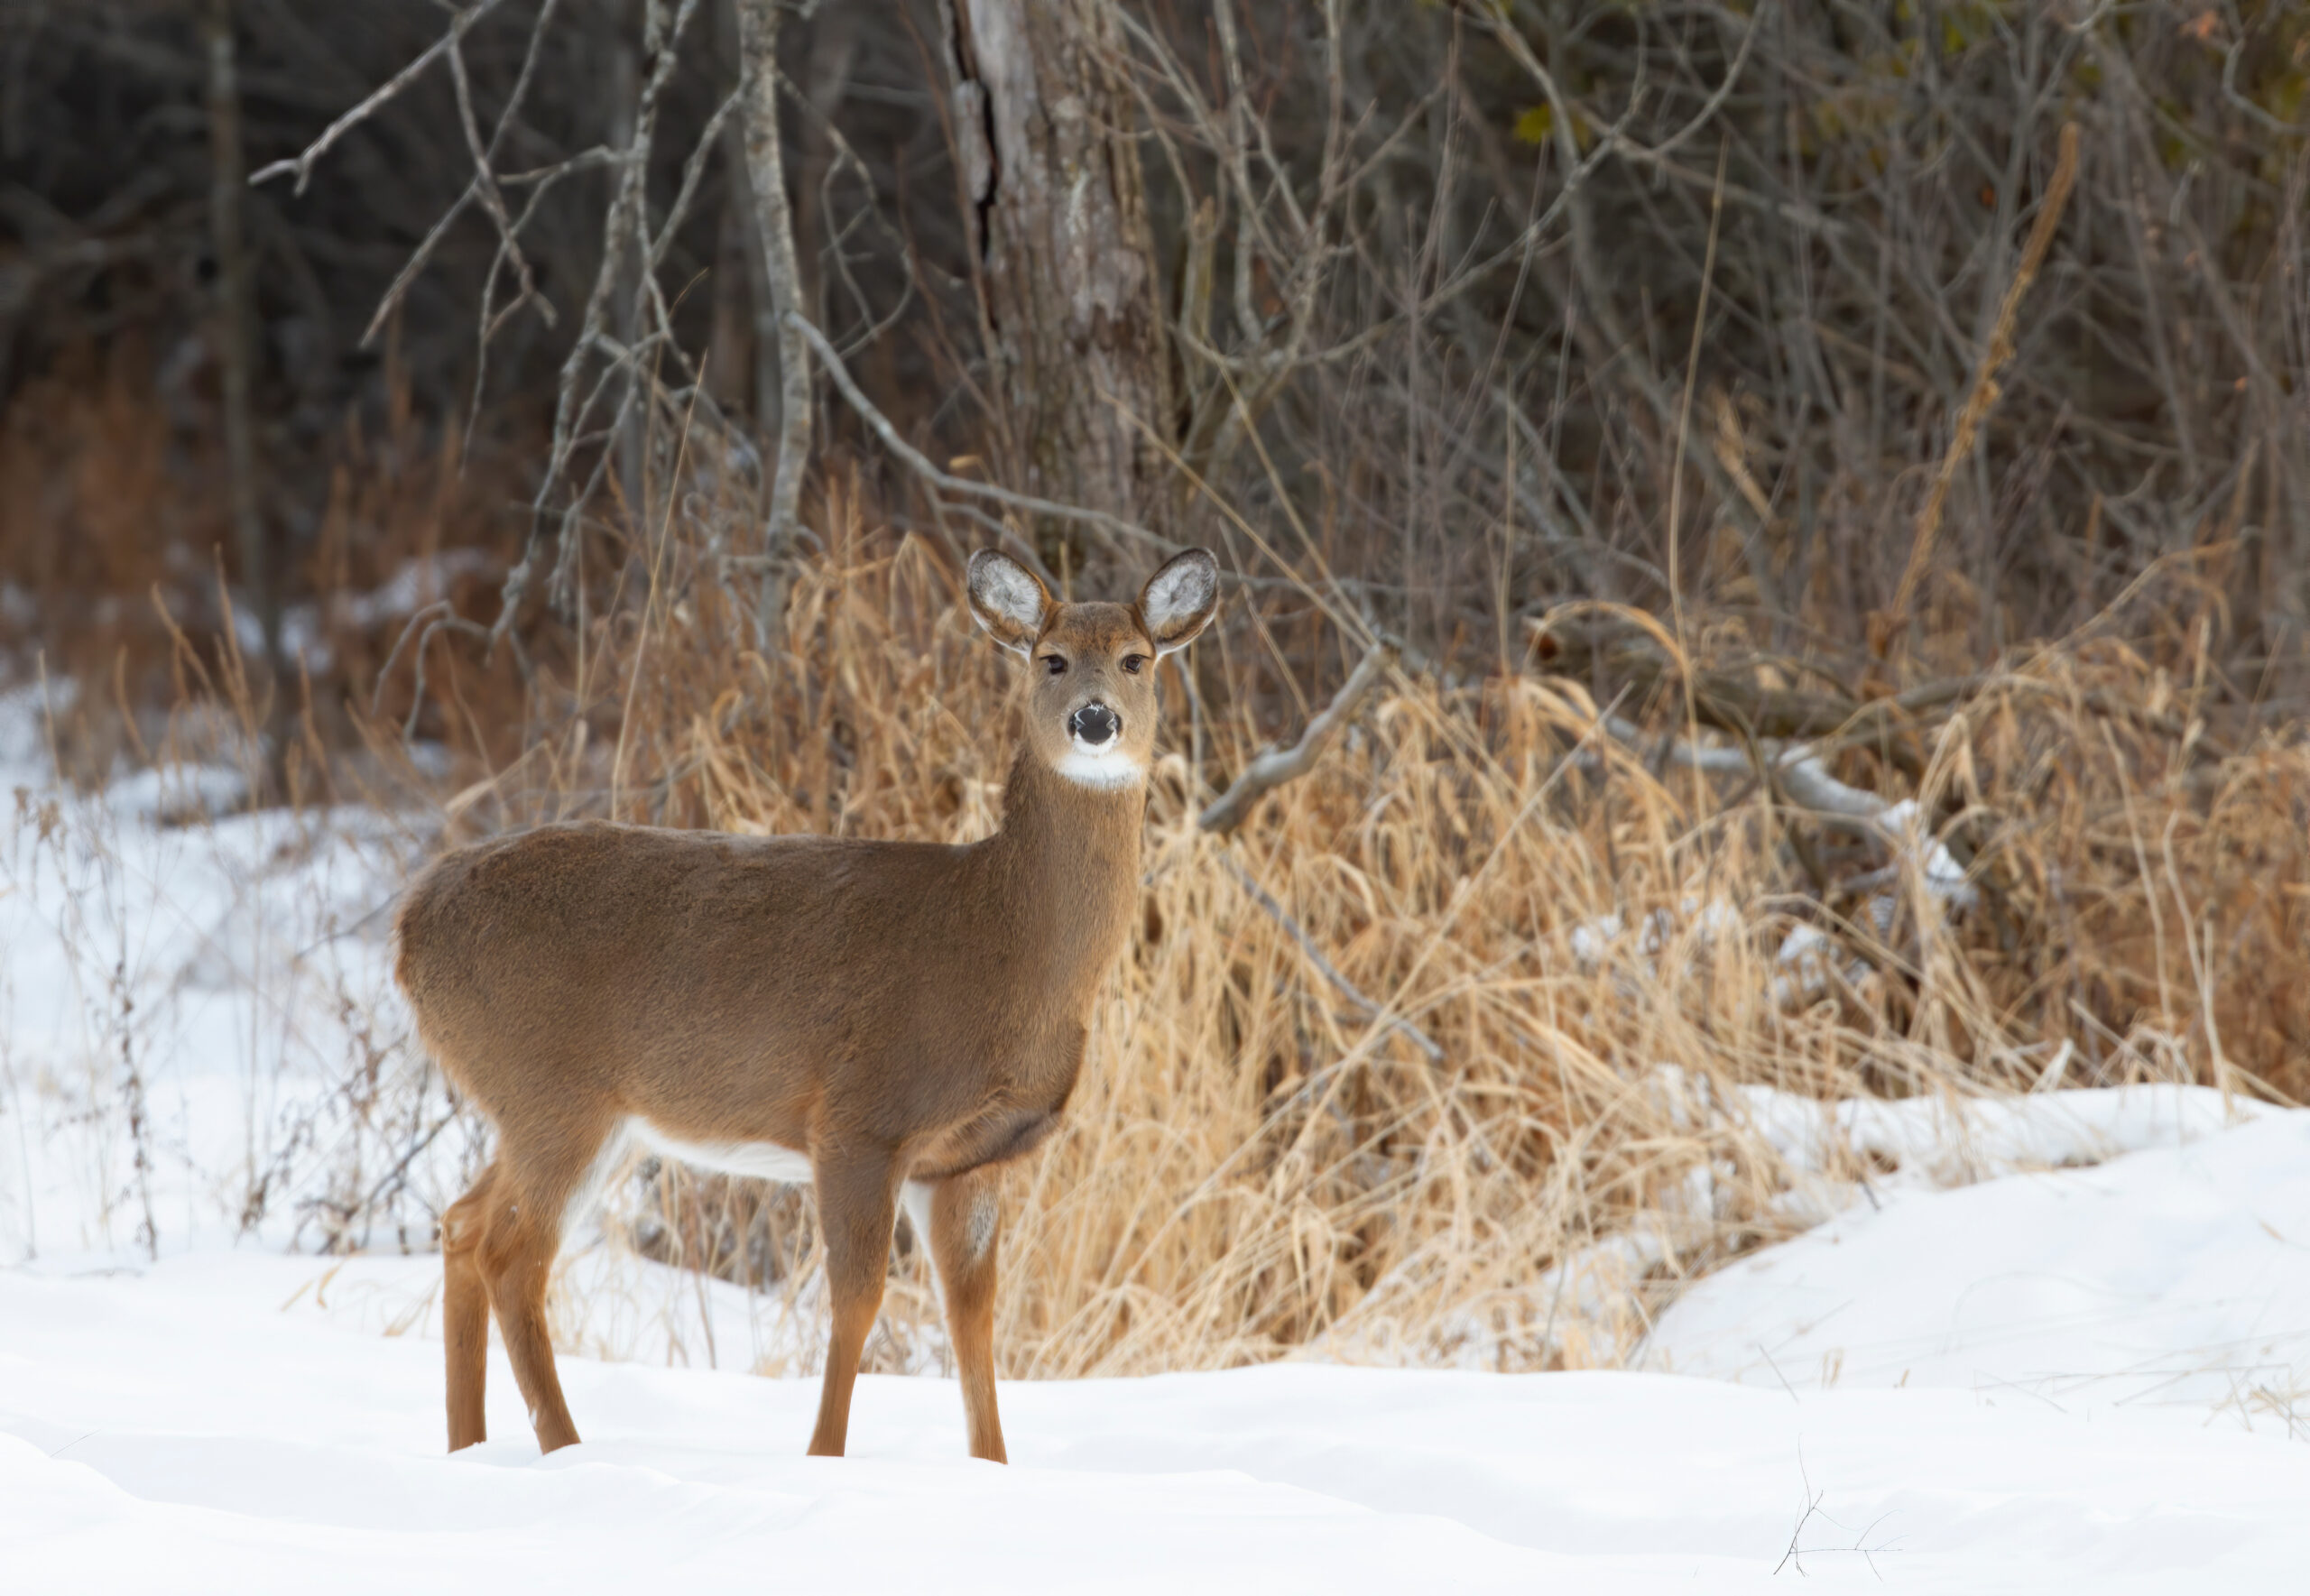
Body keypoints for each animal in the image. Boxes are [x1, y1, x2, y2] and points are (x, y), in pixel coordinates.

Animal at [394, 546, 1219, 1464]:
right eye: (1052, 659)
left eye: (1136, 659)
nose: (1094, 719)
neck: (1001, 944)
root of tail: (411, 924)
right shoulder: (860, 1118)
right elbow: (858, 1302)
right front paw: (824, 1459)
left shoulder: (967, 1160)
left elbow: (973, 1318)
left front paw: (992, 1468)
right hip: (553, 1091)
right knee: (512, 1255)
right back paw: (567, 1450)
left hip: (559, 1112)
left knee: (462, 1226)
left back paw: (468, 1448)